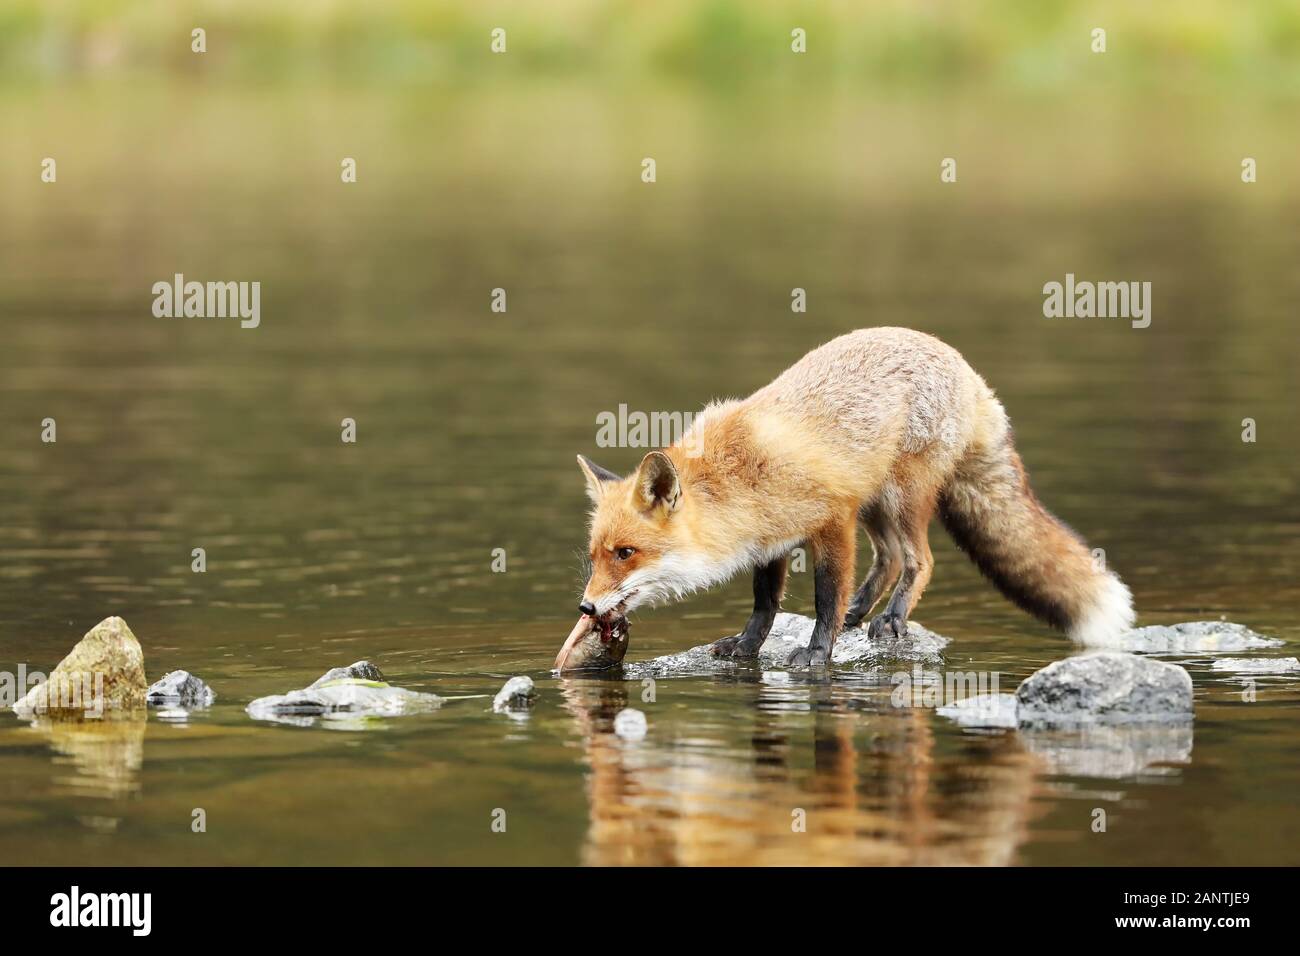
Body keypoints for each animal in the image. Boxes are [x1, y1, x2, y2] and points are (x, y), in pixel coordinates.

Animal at [576, 327, 1134, 666]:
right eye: (594, 557)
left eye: (626, 554)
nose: (586, 607)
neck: (739, 478)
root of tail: (964, 367)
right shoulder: (772, 542)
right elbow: (764, 604)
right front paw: (748, 645)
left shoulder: (833, 521)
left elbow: (825, 595)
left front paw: (817, 652)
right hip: (876, 504)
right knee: (889, 560)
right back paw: (862, 612)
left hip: (901, 497)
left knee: (918, 560)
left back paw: (891, 618)